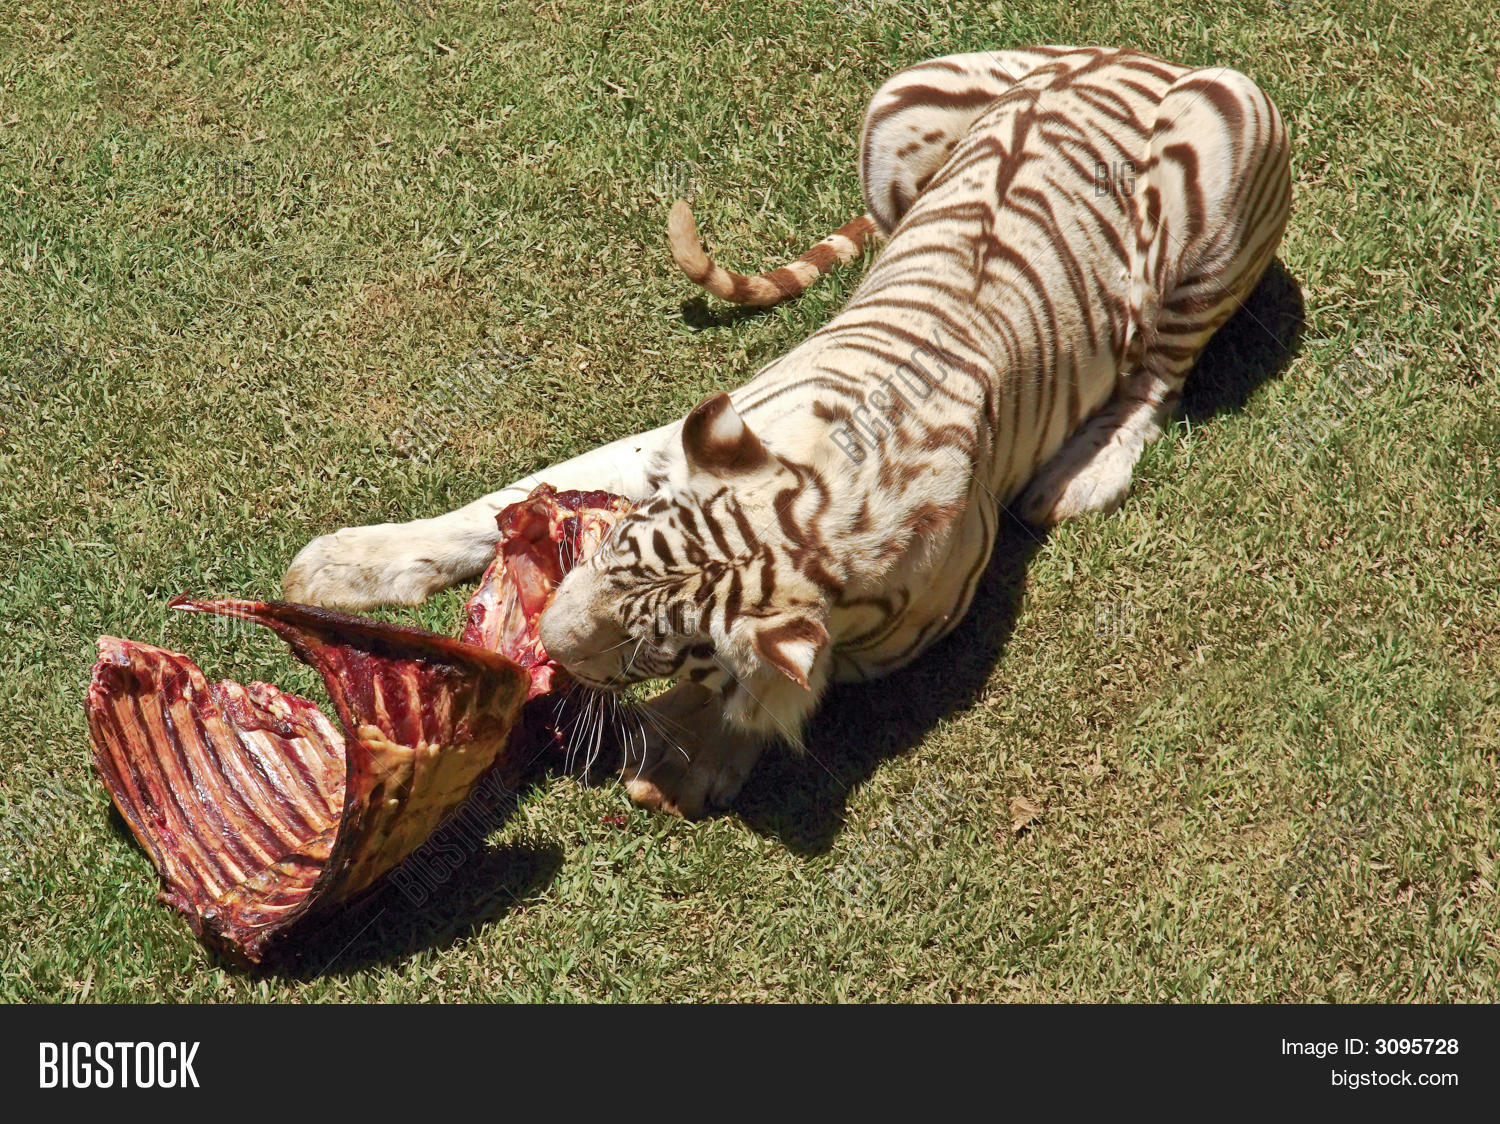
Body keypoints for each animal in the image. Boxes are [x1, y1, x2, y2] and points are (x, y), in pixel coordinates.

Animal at [285, 46, 1291, 818]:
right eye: (611, 550)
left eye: (652, 648)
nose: (554, 648)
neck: (830, 497)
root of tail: (1140, 54)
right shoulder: (661, 453)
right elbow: (500, 500)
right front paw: (343, 564)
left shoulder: (913, 621)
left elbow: (781, 682)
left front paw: (690, 750)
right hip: (896, 111)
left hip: (1227, 160)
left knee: (1159, 377)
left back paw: (1081, 474)